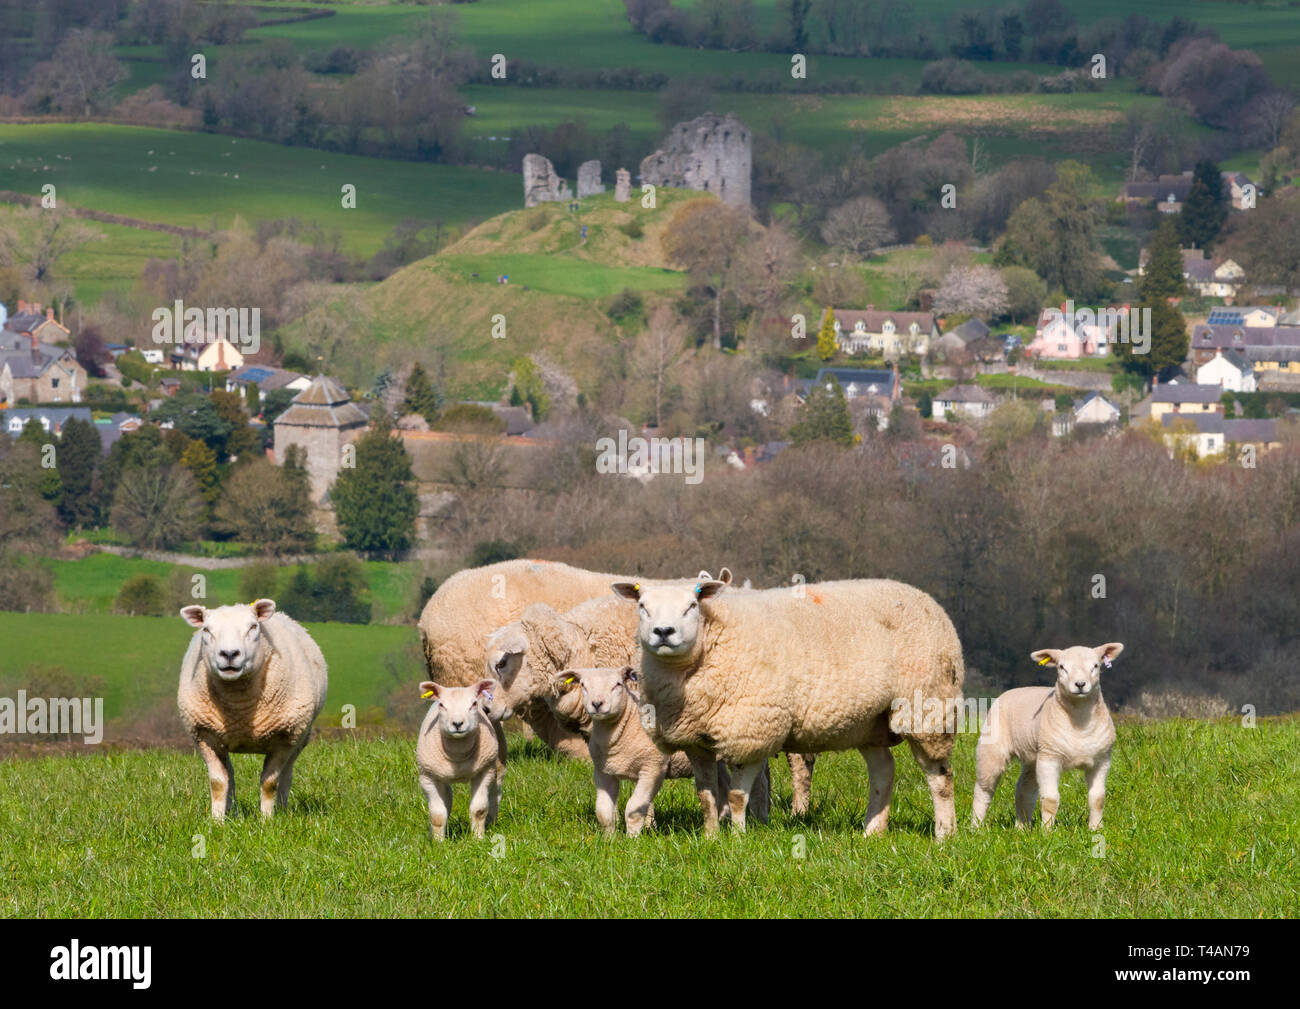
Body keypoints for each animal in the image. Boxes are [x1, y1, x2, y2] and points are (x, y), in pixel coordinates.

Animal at [177, 599, 327, 821]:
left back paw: (283, 809)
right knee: (230, 776)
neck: (240, 710)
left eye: (253, 627)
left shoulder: (283, 738)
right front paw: (217, 821)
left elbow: (269, 783)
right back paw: (231, 811)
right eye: (206, 629)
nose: (229, 654)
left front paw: (267, 820)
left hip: (300, 738)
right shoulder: (204, 736)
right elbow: (218, 783)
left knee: (286, 775)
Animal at [416, 679, 502, 840]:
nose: (457, 724)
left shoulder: (484, 771)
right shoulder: (427, 777)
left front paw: (478, 839)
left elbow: (479, 809)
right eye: (442, 705)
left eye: (474, 703)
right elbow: (437, 815)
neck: (458, 755)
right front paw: (438, 842)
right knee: (447, 800)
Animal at [555, 665, 695, 837]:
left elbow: (634, 808)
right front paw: (608, 838)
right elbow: (603, 811)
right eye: (583, 685)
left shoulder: (653, 767)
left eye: (618, 684)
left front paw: (632, 838)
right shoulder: (603, 772)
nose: (597, 703)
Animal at [613, 577, 965, 839]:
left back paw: (945, 833)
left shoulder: (752, 731)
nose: (663, 632)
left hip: (927, 708)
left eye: (691, 606)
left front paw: (737, 838)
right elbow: (706, 795)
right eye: (642, 607)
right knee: (883, 770)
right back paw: (872, 831)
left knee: (940, 776)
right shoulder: (695, 741)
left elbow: (737, 796)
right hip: (869, 721)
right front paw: (710, 837)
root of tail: (928, 600)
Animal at [972, 643, 1123, 831]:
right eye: (1062, 667)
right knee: (983, 789)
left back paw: (1021, 827)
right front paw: (1047, 832)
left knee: (1024, 789)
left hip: (1032, 757)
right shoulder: (1049, 758)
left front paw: (1095, 829)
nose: (1080, 684)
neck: (1080, 724)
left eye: (1095, 666)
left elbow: (1098, 799)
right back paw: (975, 827)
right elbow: (1050, 799)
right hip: (991, 750)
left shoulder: (1102, 760)